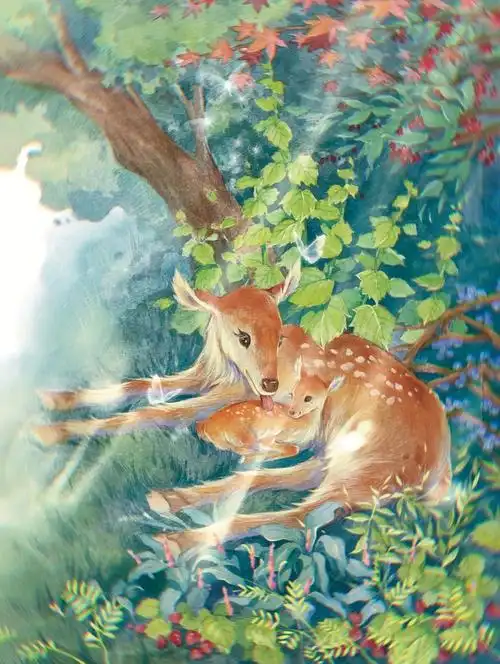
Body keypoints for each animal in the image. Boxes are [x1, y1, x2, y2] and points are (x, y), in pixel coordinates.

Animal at [32, 263, 303, 446]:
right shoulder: (203, 378)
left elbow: (158, 411)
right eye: (243, 337)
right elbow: (138, 384)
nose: (271, 384)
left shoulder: (228, 396)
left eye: (279, 338)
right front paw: (56, 398)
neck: (227, 373)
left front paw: (52, 431)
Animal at [149, 332, 452, 553]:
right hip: (340, 463)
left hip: (363, 470)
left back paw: (176, 540)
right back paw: (168, 499)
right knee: (273, 480)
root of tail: (438, 471)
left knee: (299, 516)